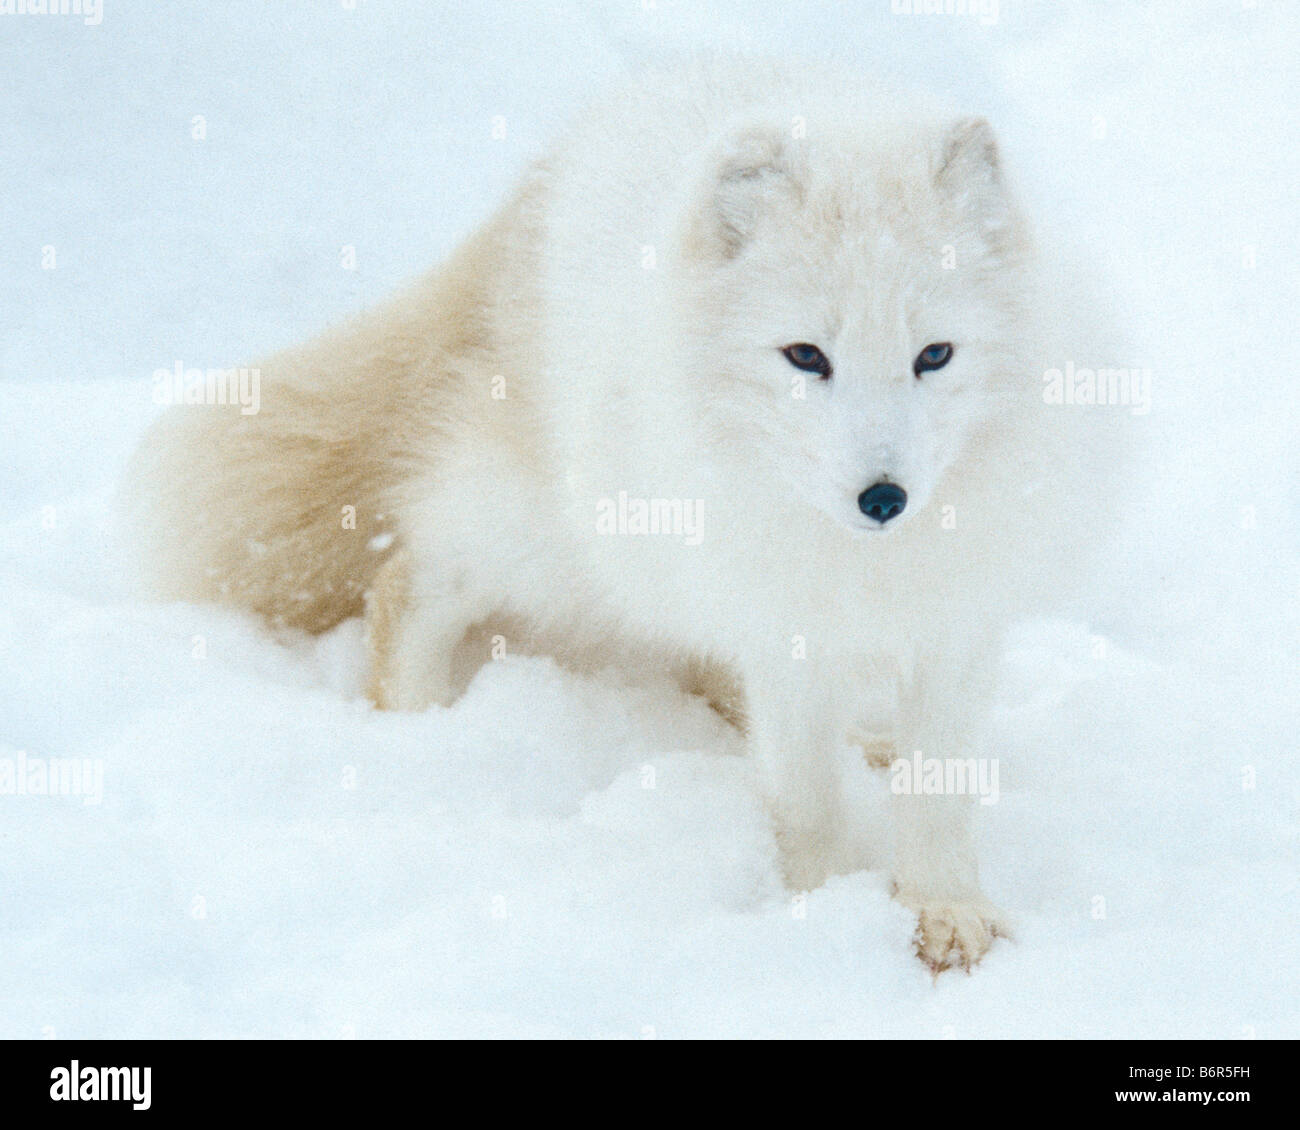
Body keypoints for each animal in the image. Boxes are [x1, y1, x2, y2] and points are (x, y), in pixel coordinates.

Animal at [122, 58, 1130, 972]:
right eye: (806, 356)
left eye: (935, 355)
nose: (883, 498)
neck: (864, 564)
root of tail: (536, 187)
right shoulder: (779, 624)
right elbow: (803, 799)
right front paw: (821, 910)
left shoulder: (956, 624)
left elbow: (939, 793)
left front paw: (945, 912)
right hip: (571, 540)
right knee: (410, 573)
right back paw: (419, 730)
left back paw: (860, 738)